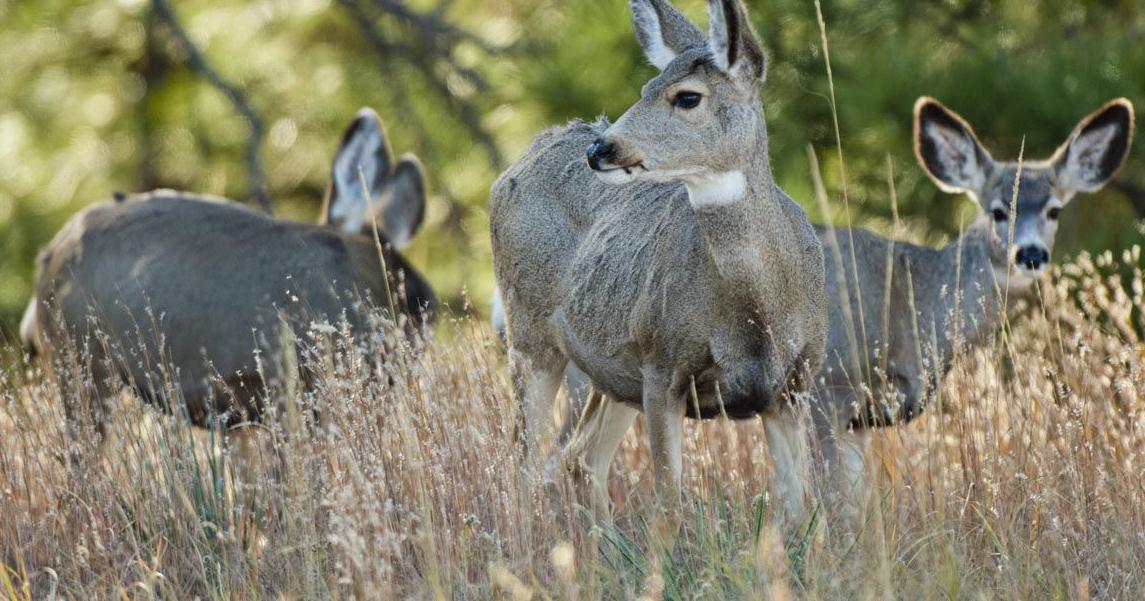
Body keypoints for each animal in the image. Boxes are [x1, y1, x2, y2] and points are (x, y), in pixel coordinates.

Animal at [490, 0, 828, 526]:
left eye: (687, 97)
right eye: (645, 89)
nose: (600, 149)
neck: (755, 311)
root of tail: (523, 156)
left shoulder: (794, 382)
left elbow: (802, 507)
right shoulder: (662, 364)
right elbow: (669, 500)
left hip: (613, 371)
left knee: (579, 458)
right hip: (531, 334)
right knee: (525, 462)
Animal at [812, 96, 1134, 526]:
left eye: (1054, 211)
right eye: (998, 211)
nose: (1031, 253)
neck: (913, 304)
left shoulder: (861, 417)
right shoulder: (824, 386)